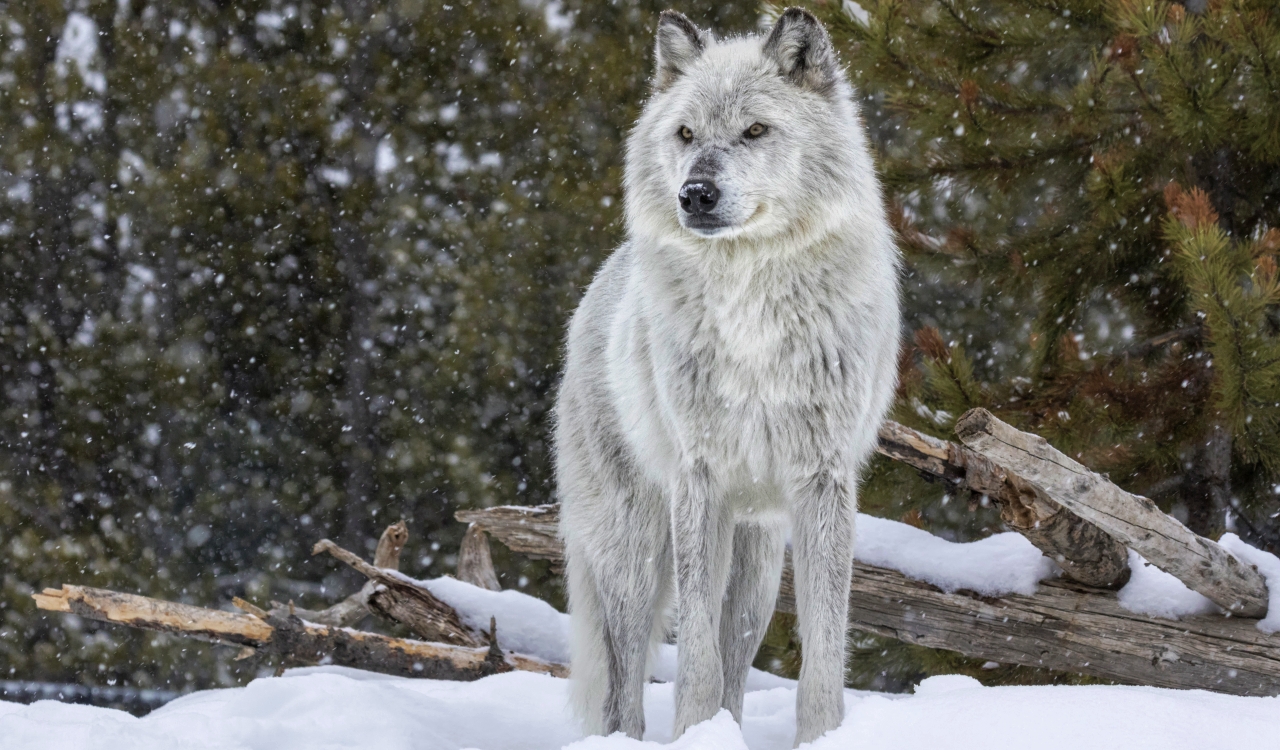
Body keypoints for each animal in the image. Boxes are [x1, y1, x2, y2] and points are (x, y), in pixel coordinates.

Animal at [554, 7, 900, 746]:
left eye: (755, 131)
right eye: (686, 134)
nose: (696, 194)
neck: (752, 307)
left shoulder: (822, 480)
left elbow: (823, 652)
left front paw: (822, 736)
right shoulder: (700, 479)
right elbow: (695, 658)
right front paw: (694, 730)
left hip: (760, 559)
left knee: (737, 643)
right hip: (635, 548)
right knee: (625, 681)